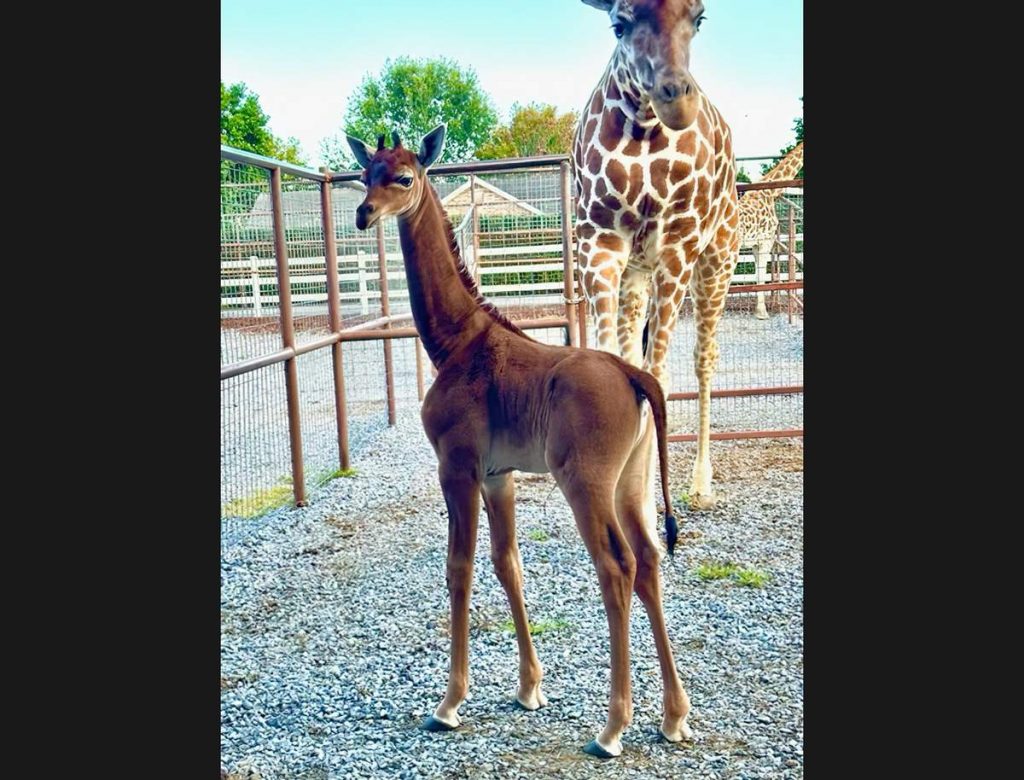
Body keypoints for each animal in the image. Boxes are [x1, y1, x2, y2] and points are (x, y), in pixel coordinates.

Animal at [347, 125, 692, 759]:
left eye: (404, 177)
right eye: (366, 174)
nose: (364, 213)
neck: (455, 342)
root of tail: (635, 376)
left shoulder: (456, 467)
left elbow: (459, 567)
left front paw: (449, 703)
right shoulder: (497, 475)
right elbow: (508, 563)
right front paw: (530, 688)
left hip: (586, 483)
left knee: (617, 566)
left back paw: (612, 729)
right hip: (631, 483)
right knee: (651, 560)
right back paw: (674, 717)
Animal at [572, 0, 739, 511]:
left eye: (699, 18)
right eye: (618, 24)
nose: (676, 99)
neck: (643, 130)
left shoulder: (677, 246)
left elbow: (658, 375)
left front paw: (645, 504)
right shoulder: (599, 242)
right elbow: (616, 365)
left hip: (717, 260)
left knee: (705, 357)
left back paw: (701, 484)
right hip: (636, 274)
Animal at [739, 142, 803, 319]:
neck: (770, 191)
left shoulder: (756, 244)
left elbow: (758, 273)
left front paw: (759, 310)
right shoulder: (766, 240)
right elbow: (761, 275)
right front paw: (762, 312)